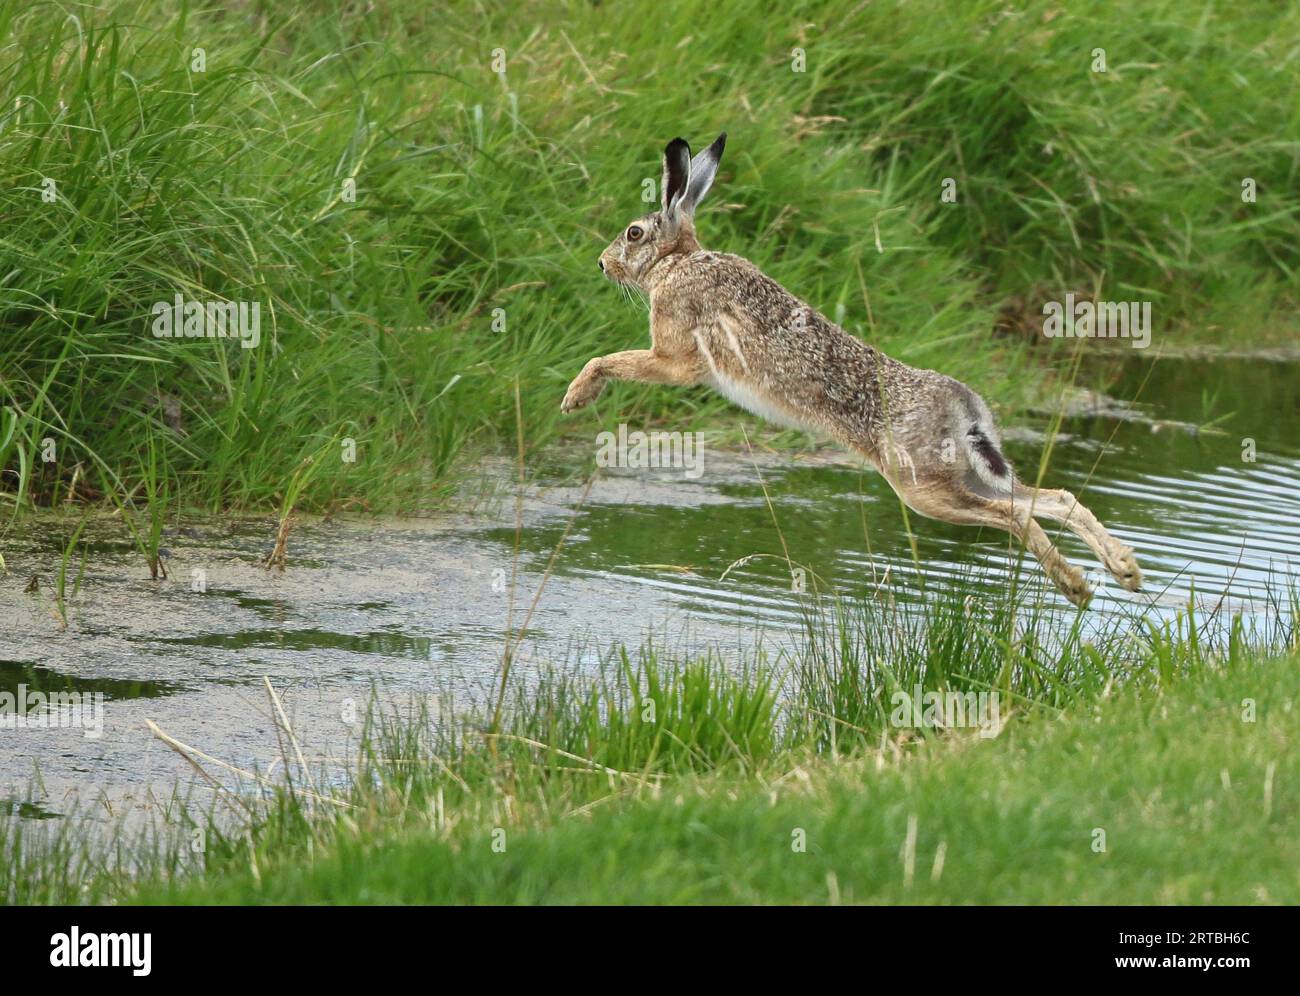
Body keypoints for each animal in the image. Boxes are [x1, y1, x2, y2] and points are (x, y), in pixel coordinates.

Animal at [562, 133, 1143, 607]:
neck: (677, 262)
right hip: (965, 473)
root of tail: (964, 407)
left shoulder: (676, 358)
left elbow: (612, 361)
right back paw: (1125, 570)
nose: (601, 263)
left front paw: (575, 397)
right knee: (1054, 499)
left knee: (1015, 515)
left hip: (920, 486)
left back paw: (1077, 587)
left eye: (634, 233)